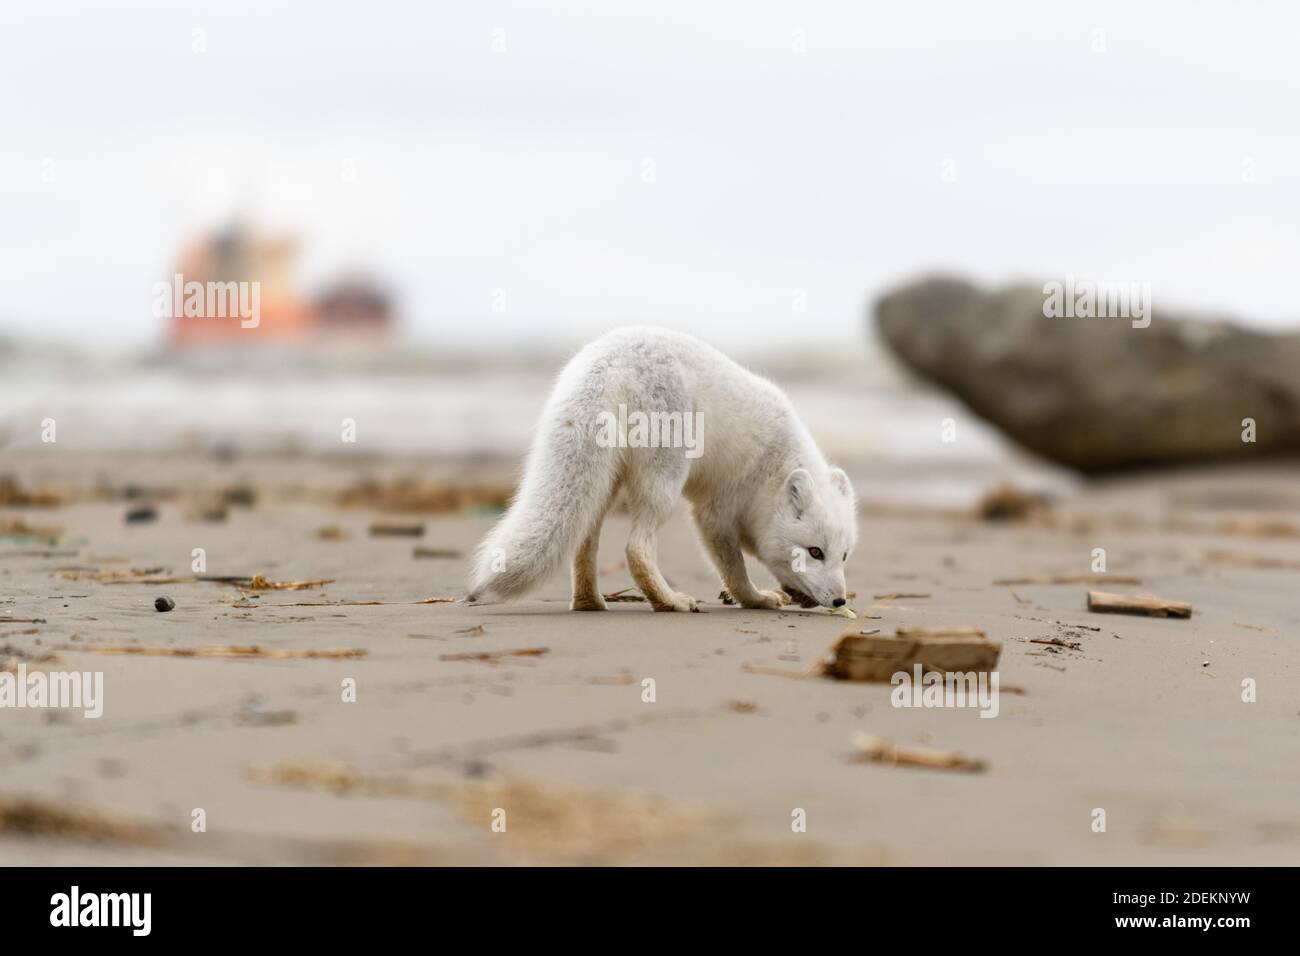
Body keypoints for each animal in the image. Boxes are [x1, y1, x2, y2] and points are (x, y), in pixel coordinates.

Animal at [467, 326, 858, 612]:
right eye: (815, 552)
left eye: (844, 555)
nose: (841, 600)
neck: (772, 468)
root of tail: (606, 365)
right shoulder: (714, 514)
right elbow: (734, 571)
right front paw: (757, 599)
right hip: (664, 481)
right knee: (636, 548)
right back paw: (670, 602)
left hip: (603, 479)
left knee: (585, 539)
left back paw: (590, 602)